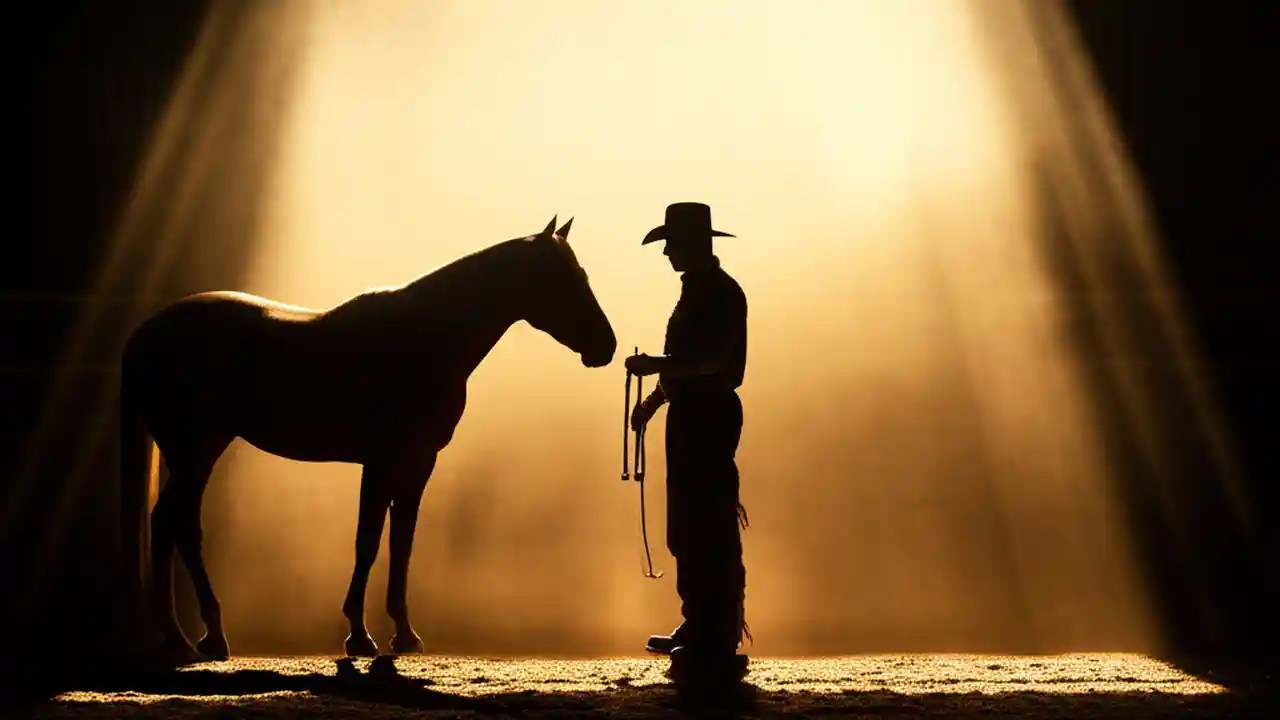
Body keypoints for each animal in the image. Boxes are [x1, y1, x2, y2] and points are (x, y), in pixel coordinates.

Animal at [119, 217, 616, 663]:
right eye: (563, 280)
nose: (606, 347)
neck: (427, 338)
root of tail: (146, 332)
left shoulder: (418, 463)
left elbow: (401, 544)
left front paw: (404, 635)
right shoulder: (380, 461)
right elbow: (368, 542)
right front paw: (359, 637)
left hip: (198, 451)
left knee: (176, 527)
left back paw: (203, 637)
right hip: (196, 450)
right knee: (170, 524)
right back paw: (187, 639)